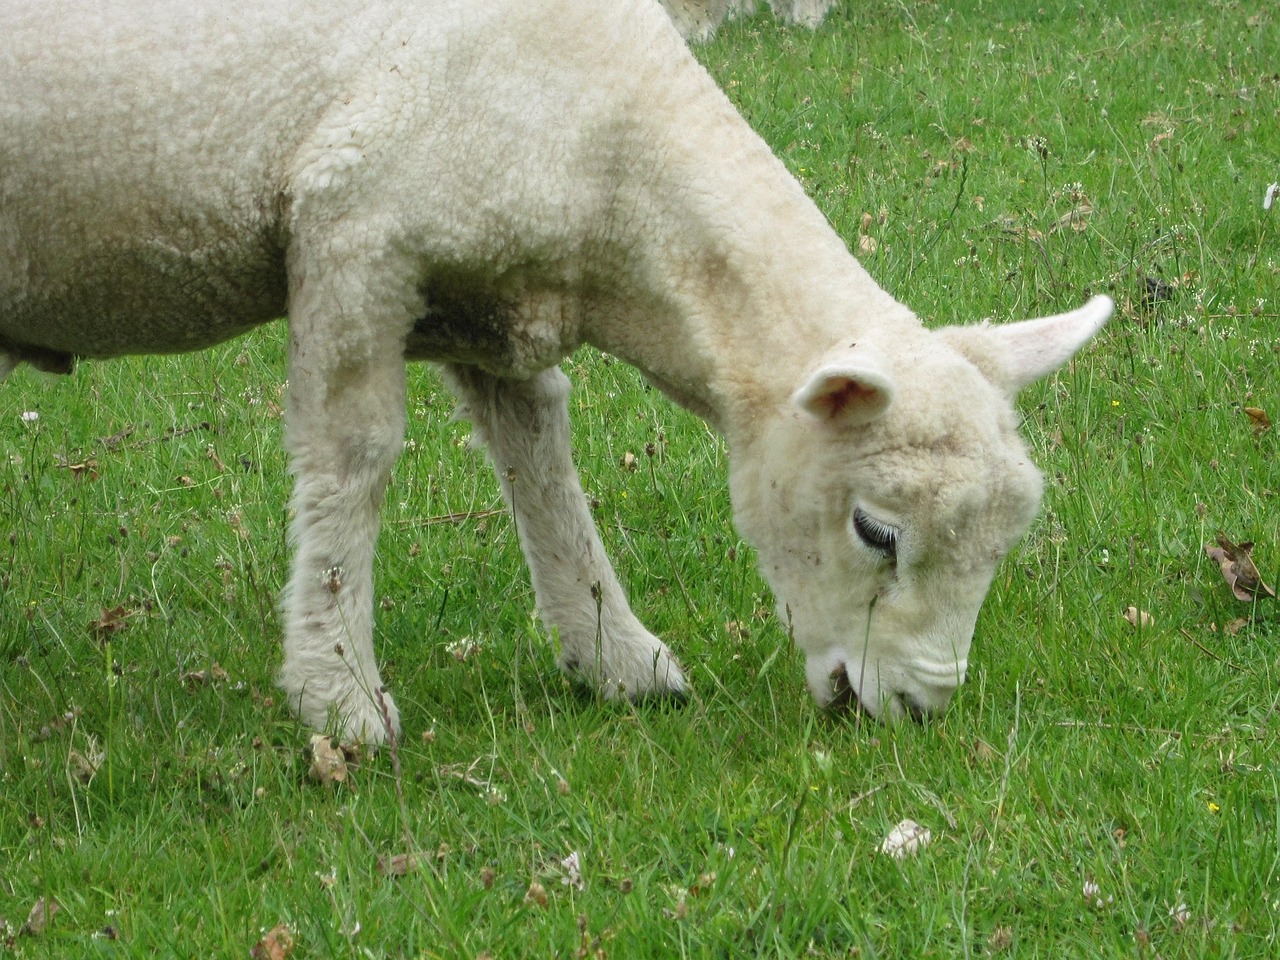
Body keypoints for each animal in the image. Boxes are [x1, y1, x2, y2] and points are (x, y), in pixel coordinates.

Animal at [0, 0, 1111, 743]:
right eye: (876, 531)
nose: (923, 707)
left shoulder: (486, 286)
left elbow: (540, 461)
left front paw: (614, 656)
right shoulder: (353, 231)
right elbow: (352, 460)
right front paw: (339, 693)